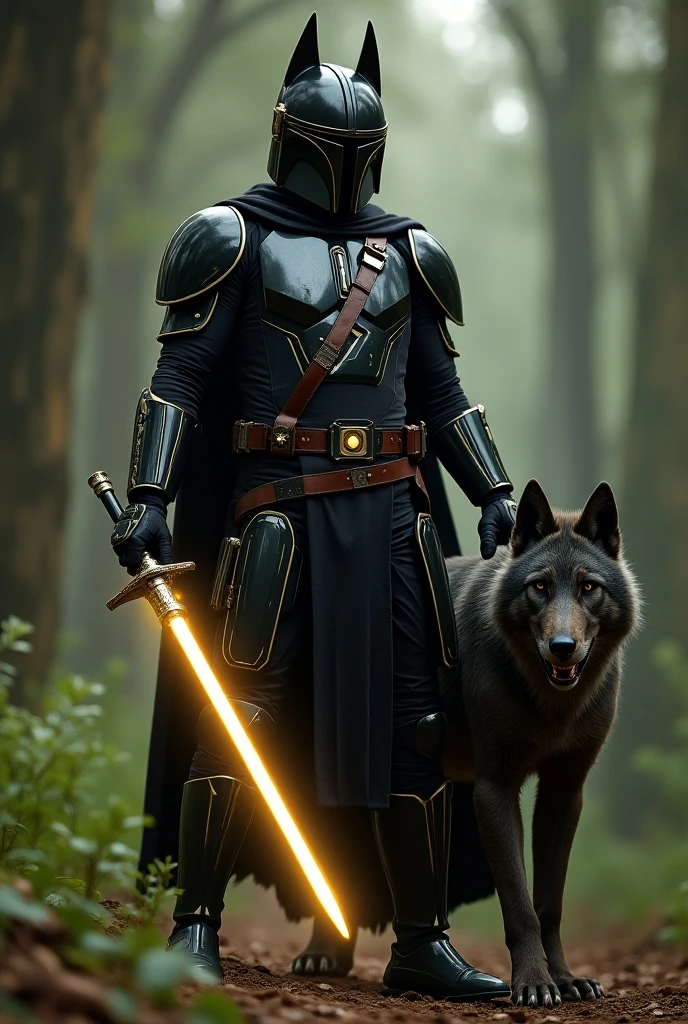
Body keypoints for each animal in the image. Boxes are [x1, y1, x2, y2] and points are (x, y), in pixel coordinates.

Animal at [440, 479, 641, 1008]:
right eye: (540, 587)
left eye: (589, 587)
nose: (563, 648)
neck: (553, 707)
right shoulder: (494, 788)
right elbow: (520, 906)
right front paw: (533, 983)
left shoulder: (563, 793)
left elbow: (549, 904)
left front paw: (566, 980)